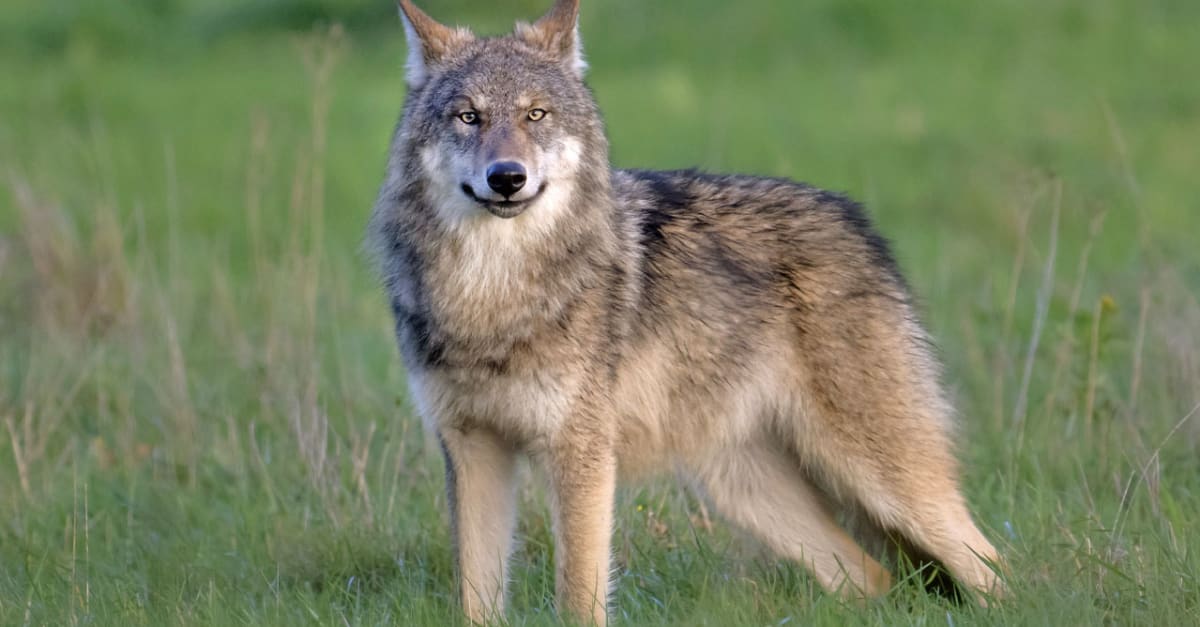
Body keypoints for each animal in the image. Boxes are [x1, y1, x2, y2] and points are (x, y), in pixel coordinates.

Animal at [368, 0, 1004, 624]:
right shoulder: (472, 450)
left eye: (536, 115)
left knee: (992, 569)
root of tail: (858, 222)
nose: (506, 177)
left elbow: (578, 597)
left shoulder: (581, 455)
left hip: (884, 480)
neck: (491, 295)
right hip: (746, 489)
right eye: (468, 117)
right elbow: (476, 599)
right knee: (873, 578)